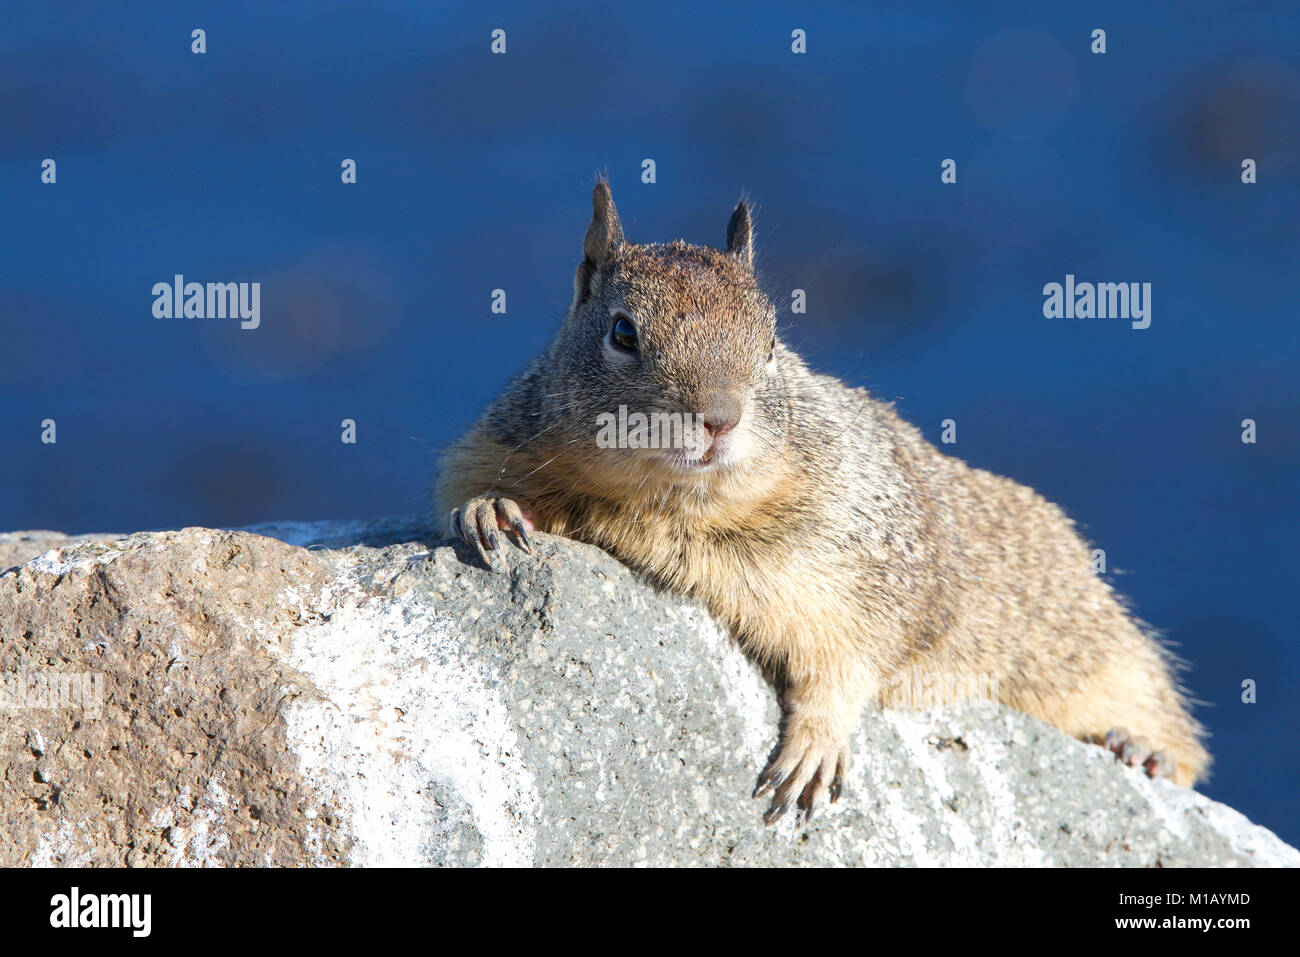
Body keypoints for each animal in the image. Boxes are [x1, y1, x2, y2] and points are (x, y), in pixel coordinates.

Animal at [435, 181, 1209, 824]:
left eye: (773, 341)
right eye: (623, 332)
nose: (720, 419)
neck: (669, 504)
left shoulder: (858, 564)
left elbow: (848, 660)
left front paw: (815, 745)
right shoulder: (502, 445)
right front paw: (491, 511)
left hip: (1092, 648)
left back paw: (1141, 749)